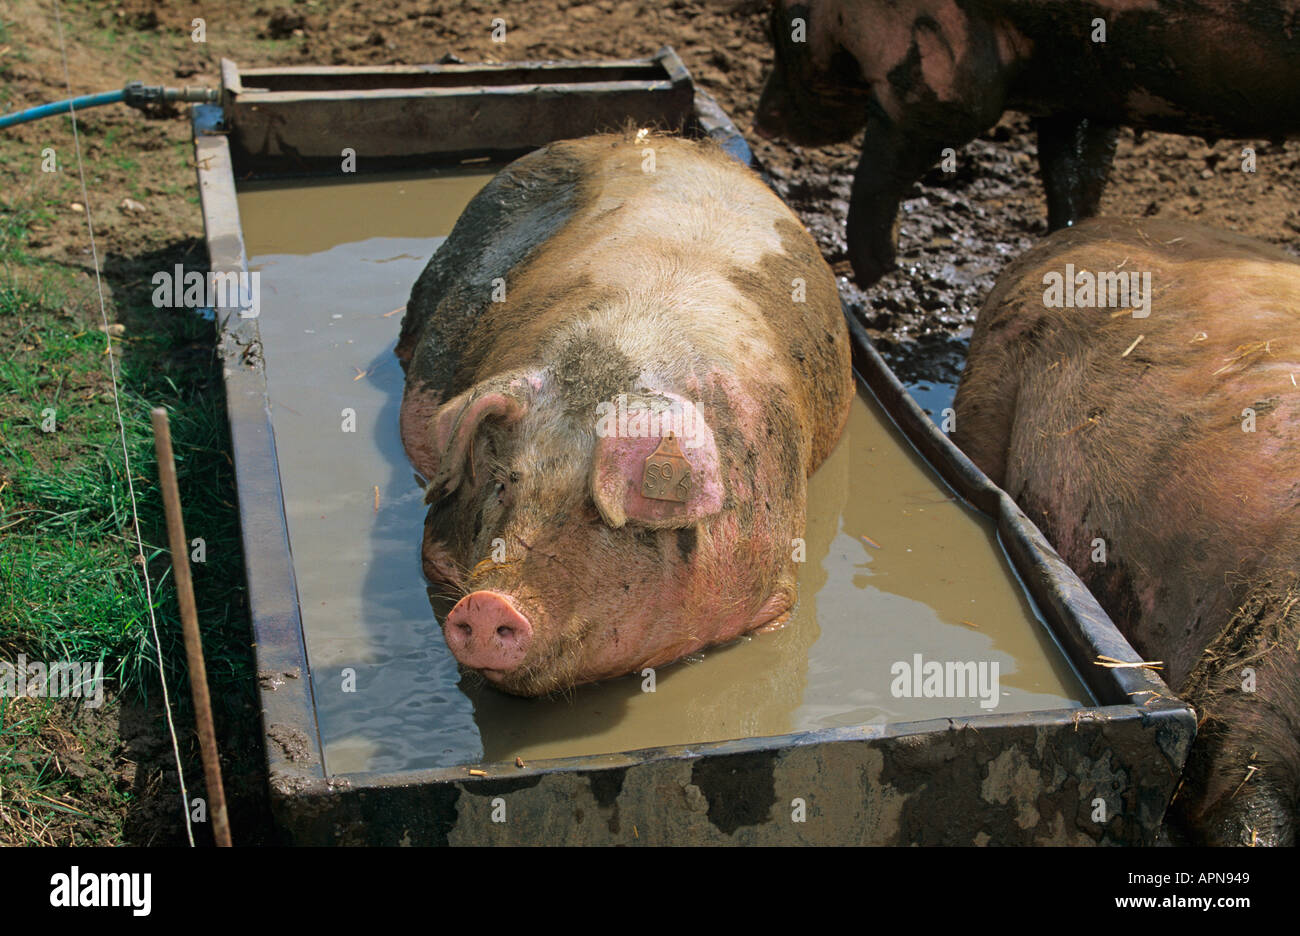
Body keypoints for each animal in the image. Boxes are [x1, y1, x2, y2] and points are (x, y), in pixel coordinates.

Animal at [753, 0, 1300, 287]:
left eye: (775, 21)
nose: (760, 122)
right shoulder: (1082, 90)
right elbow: (1073, 168)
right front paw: (1063, 246)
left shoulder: (938, 70)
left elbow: (882, 173)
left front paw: (874, 274)